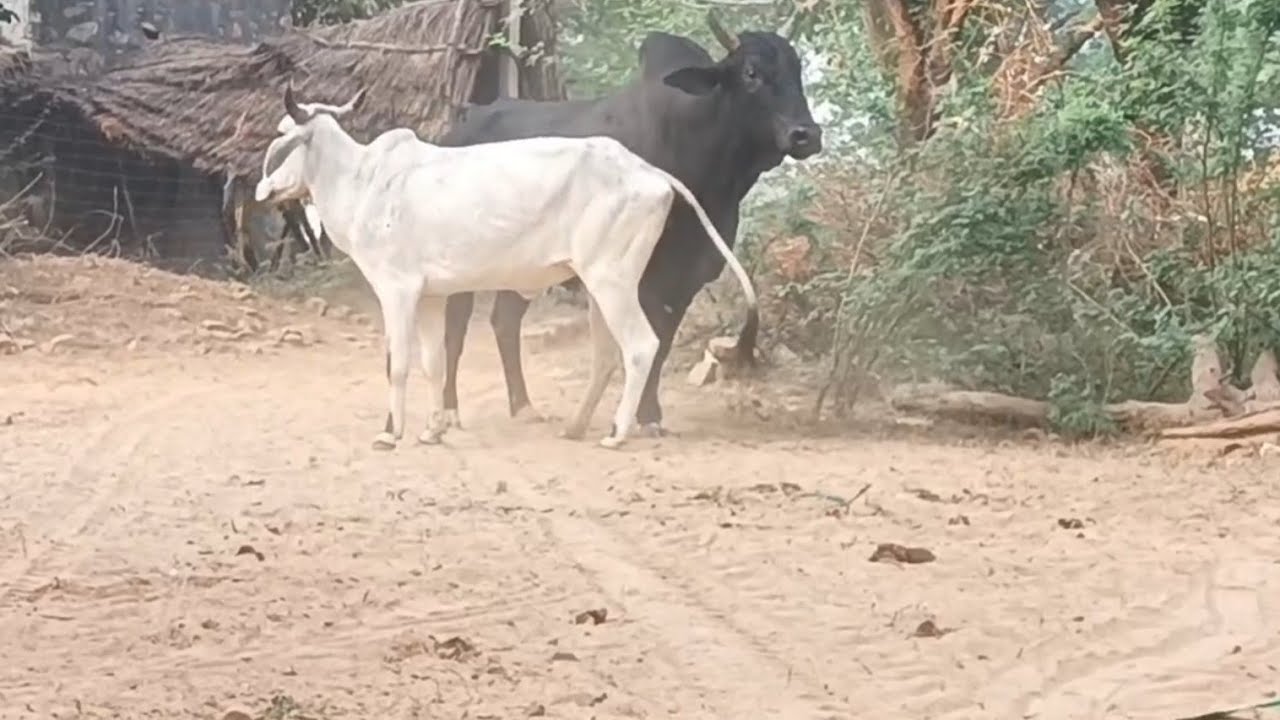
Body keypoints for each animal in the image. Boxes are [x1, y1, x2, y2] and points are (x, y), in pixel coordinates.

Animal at [436, 11, 822, 436]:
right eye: (752, 72)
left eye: (797, 69)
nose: (806, 135)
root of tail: (464, 124)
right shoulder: (644, 275)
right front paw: (640, 415)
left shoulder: (688, 277)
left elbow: (663, 341)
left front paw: (649, 414)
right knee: (456, 326)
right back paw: (450, 410)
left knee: (504, 320)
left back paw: (522, 406)